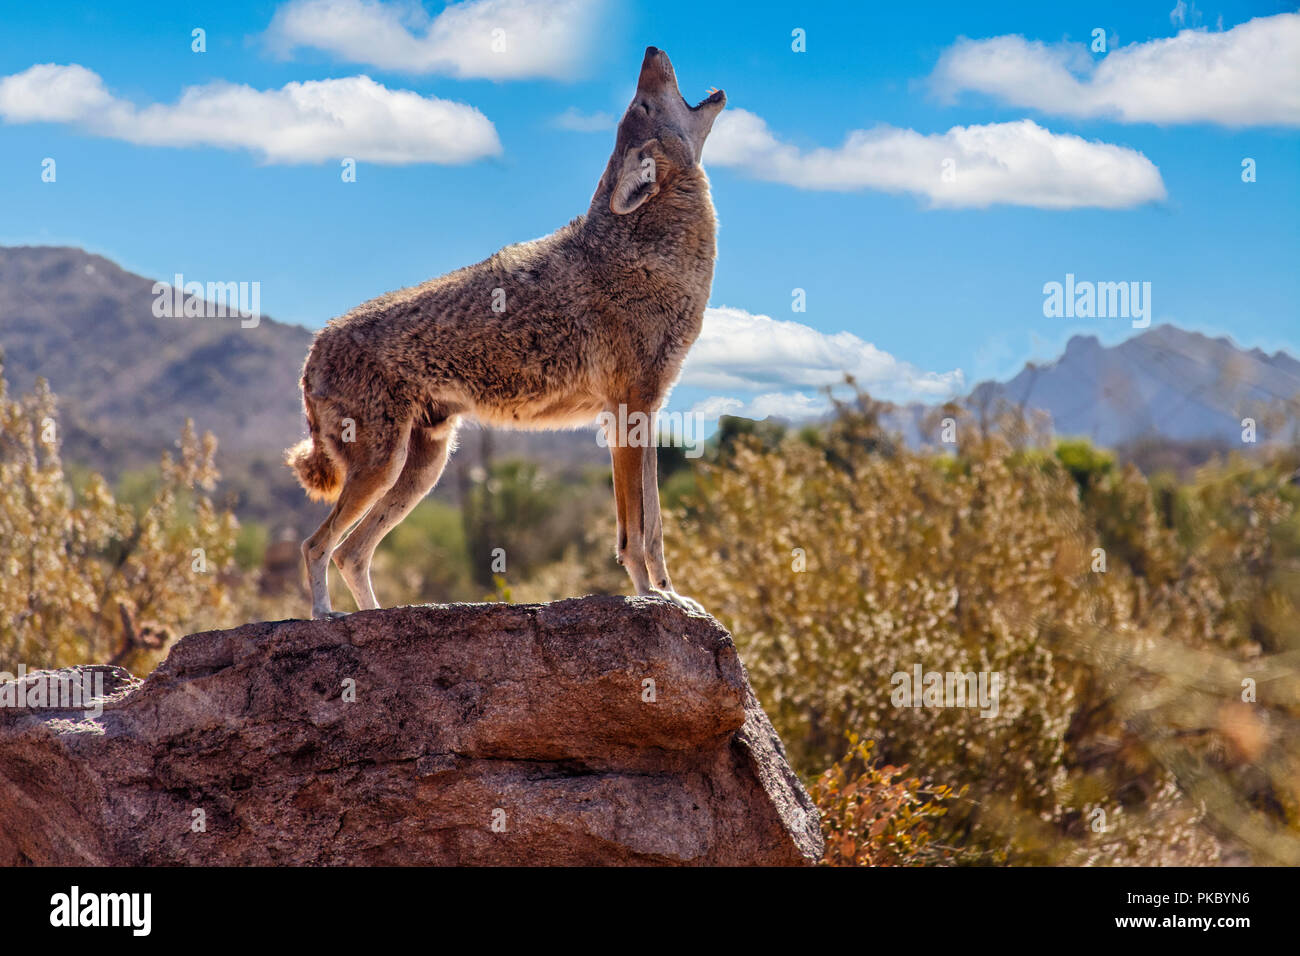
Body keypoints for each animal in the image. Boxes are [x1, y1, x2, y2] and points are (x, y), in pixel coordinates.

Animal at [285, 47, 725, 619]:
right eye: (642, 105)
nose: (650, 51)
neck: (647, 252)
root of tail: (313, 348)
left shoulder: (644, 412)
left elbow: (654, 527)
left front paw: (671, 594)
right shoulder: (628, 413)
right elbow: (636, 532)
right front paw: (649, 594)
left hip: (419, 471)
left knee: (351, 552)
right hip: (384, 468)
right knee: (316, 545)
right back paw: (325, 618)